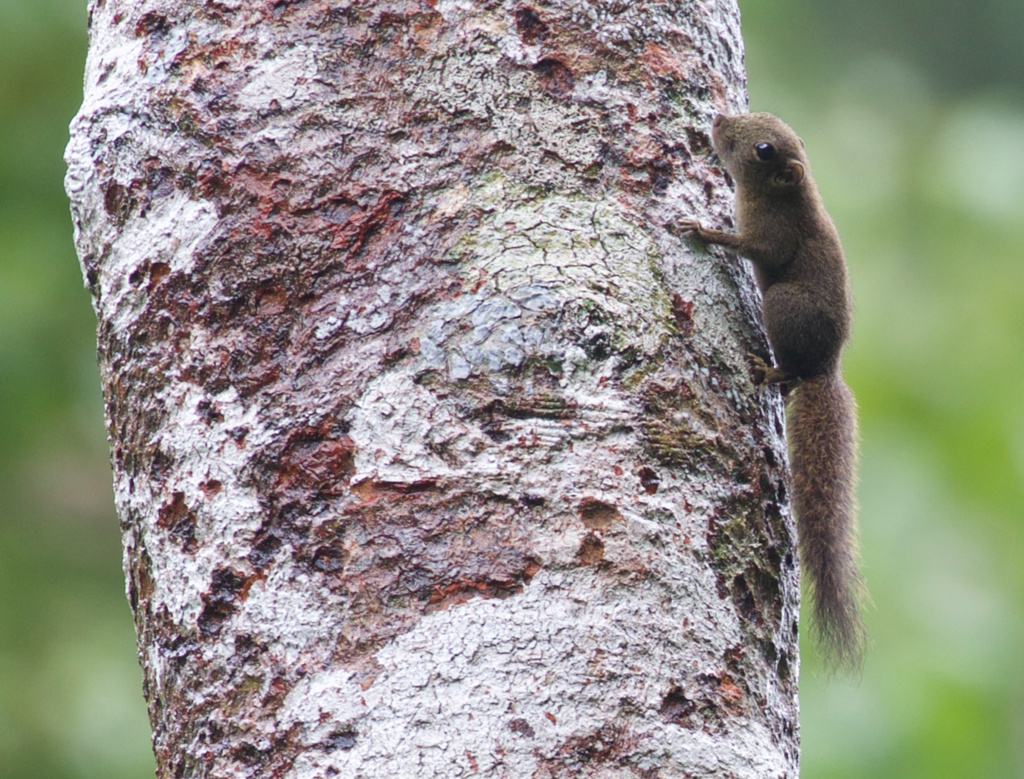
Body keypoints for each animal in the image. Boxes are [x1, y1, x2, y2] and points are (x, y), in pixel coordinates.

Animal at [679, 112, 866, 671]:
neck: (786, 194)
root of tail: (826, 369)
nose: (719, 118)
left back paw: (769, 373)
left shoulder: (773, 236)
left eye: (764, 149)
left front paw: (702, 230)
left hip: (782, 304)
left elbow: (750, 248)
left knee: (792, 373)